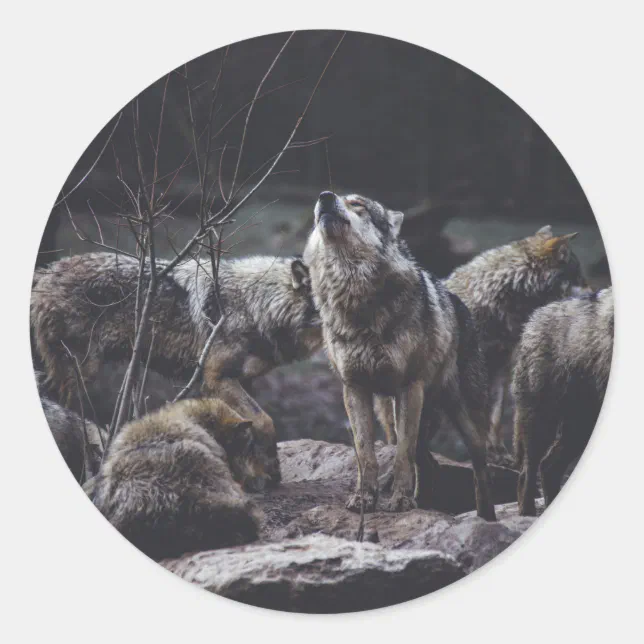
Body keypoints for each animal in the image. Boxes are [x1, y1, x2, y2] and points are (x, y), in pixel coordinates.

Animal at [31, 252, 322, 485]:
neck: (256, 305)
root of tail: (46, 272)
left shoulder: (240, 381)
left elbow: (248, 427)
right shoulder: (216, 378)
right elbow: (265, 420)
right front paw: (271, 470)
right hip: (80, 372)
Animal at [303, 191, 496, 520]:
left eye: (358, 204)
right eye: (331, 197)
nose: (325, 197)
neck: (355, 298)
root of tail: (459, 303)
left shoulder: (409, 387)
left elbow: (402, 456)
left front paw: (400, 501)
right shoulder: (354, 388)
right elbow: (365, 454)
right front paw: (365, 499)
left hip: (463, 419)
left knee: (478, 467)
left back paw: (486, 517)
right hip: (395, 415)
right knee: (428, 463)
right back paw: (424, 502)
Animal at [513, 287, 613, 515]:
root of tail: (532, 320)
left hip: (580, 425)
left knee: (548, 467)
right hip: (543, 422)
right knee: (528, 471)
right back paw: (527, 512)